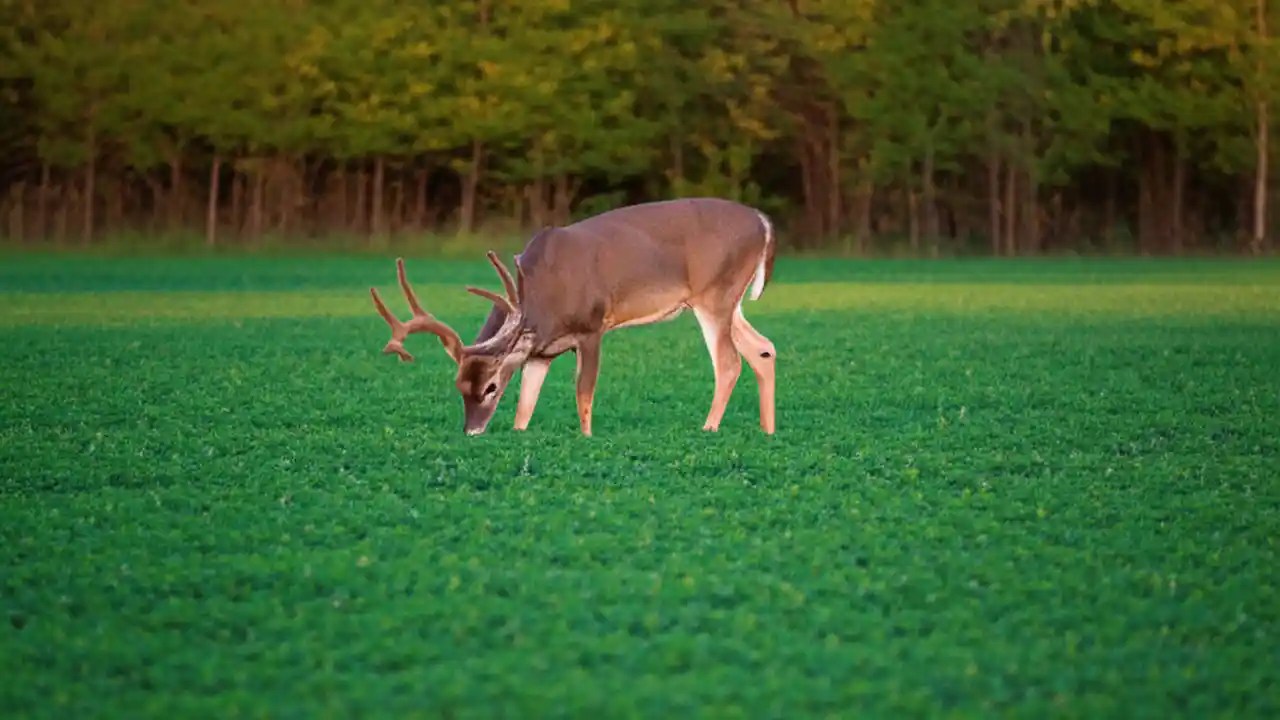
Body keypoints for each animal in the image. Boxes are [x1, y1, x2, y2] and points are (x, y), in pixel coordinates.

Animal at [369, 197, 778, 437]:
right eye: (458, 386)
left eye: (490, 387)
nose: (471, 431)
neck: (543, 291)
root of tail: (763, 221)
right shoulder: (542, 352)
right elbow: (525, 405)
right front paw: (518, 435)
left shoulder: (593, 327)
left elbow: (583, 391)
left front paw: (587, 438)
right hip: (729, 302)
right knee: (763, 349)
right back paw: (767, 430)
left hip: (715, 294)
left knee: (728, 362)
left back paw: (708, 428)